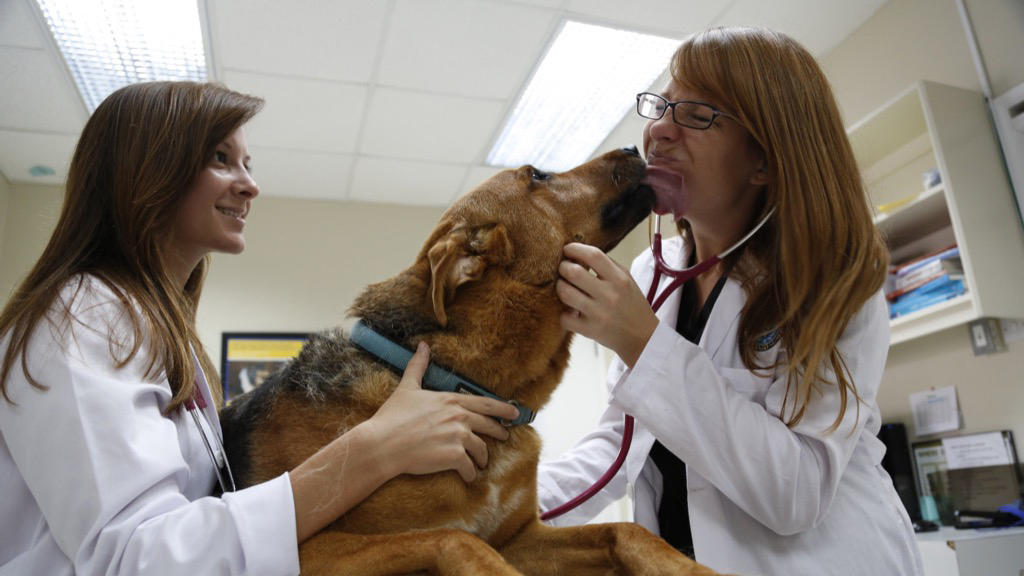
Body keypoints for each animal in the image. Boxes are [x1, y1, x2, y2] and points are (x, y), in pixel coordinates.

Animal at [219, 146, 716, 573]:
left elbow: (627, 531)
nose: (633, 146)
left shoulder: (520, 538)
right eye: (538, 175)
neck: (460, 383)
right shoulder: (307, 548)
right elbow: (457, 539)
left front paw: (689, 568)